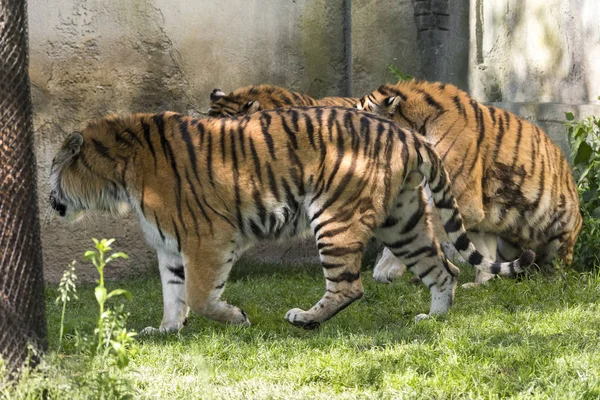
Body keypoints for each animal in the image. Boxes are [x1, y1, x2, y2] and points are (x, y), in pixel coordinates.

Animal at [48, 105, 536, 332]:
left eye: (52, 165)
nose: (48, 197)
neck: (118, 174)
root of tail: (405, 132)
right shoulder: (170, 245)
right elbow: (173, 293)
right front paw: (165, 330)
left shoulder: (207, 237)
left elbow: (201, 295)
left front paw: (236, 317)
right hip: (403, 222)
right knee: (444, 268)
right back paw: (432, 319)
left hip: (335, 217)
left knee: (349, 286)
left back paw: (306, 319)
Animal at [356, 80, 580, 288]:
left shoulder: (461, 200)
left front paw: (385, 269)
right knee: (490, 262)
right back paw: (476, 284)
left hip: (559, 234)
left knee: (553, 269)